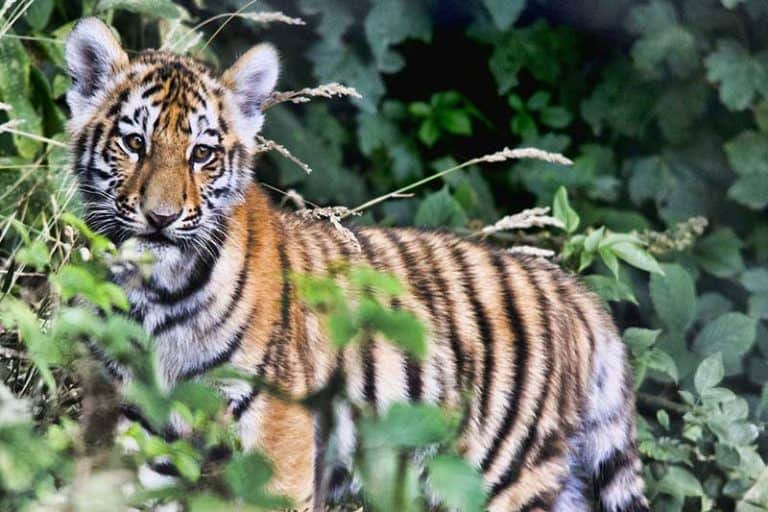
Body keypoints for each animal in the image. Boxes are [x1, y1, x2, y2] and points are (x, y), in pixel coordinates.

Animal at [64, 17, 650, 512]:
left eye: (202, 154)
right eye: (134, 142)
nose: (160, 218)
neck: (156, 289)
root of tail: (577, 294)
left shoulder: (277, 426)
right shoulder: (140, 419)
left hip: (500, 475)